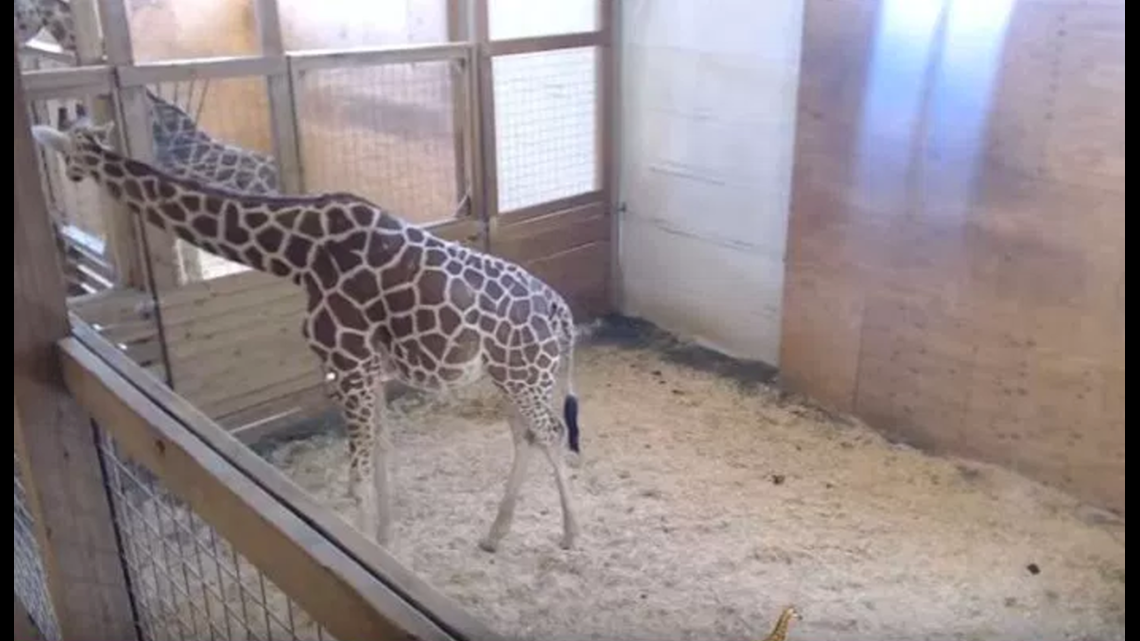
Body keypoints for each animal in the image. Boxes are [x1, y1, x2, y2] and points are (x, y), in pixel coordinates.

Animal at [30, 116, 585, 552]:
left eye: (65, 154)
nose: (69, 185)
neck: (296, 253)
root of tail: (562, 313)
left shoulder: (347, 361)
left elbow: (356, 477)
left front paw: (372, 557)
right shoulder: (369, 368)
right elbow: (381, 455)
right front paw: (385, 542)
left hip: (523, 375)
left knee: (552, 433)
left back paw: (569, 534)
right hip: (509, 376)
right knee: (526, 436)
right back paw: (495, 534)